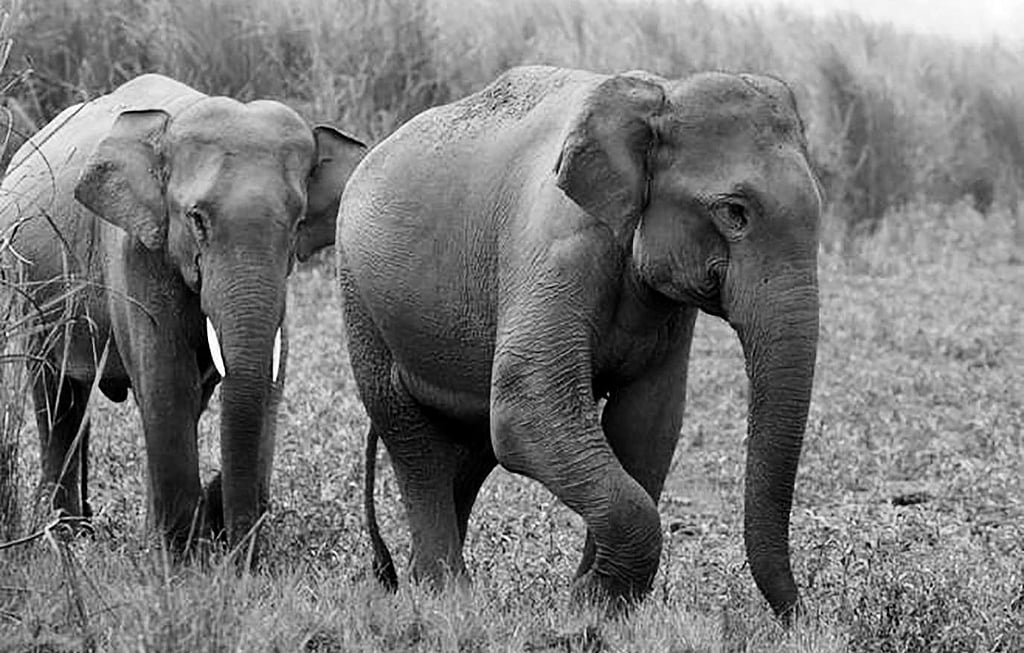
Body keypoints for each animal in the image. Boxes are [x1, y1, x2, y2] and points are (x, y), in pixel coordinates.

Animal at [0, 73, 364, 557]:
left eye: (297, 221)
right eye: (197, 219)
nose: (240, 553)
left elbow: (251, 380)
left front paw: (186, 546)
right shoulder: (135, 249)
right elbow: (167, 379)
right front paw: (179, 555)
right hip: (32, 291)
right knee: (57, 399)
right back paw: (67, 537)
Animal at [338, 65, 821, 620]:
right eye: (734, 212)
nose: (799, 618)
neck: (660, 94)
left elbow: (647, 424)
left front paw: (594, 602)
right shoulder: (556, 249)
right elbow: (527, 409)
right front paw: (591, 603)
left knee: (469, 443)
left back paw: (425, 583)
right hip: (360, 299)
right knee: (412, 437)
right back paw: (446, 594)